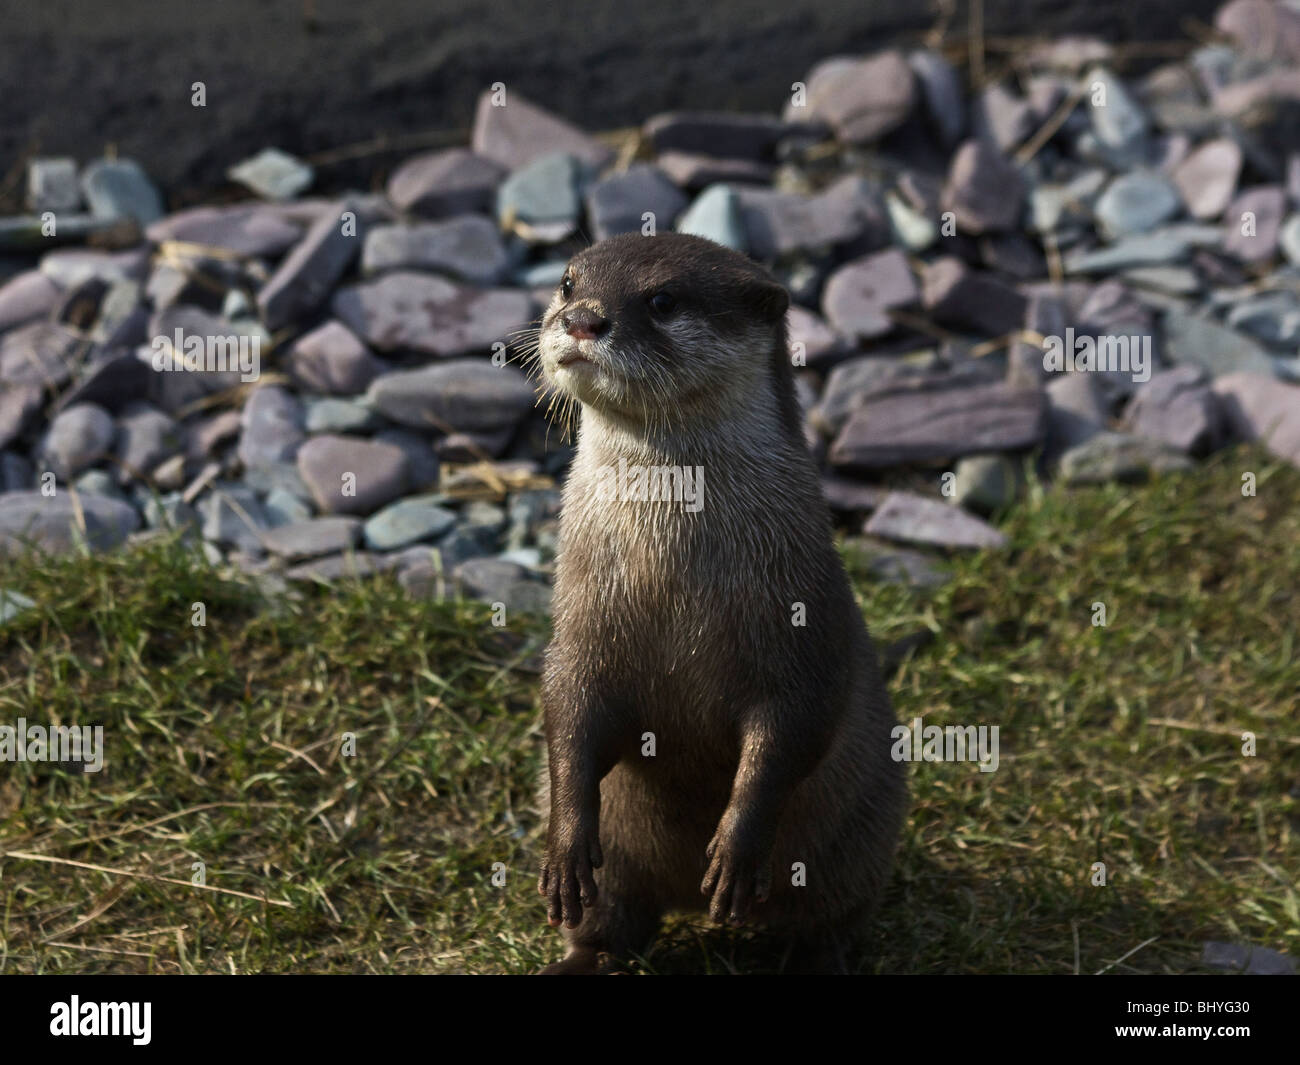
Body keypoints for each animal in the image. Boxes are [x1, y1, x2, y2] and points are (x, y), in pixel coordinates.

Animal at [529, 232, 905, 974]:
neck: (669, 570)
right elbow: (569, 712)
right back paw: (578, 957)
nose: (582, 318)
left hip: (863, 836)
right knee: (614, 916)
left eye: (663, 300)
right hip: (626, 860)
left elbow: (795, 726)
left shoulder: (802, 624)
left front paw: (735, 846)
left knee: (833, 920)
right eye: (568, 282)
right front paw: (564, 844)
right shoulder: (579, 621)